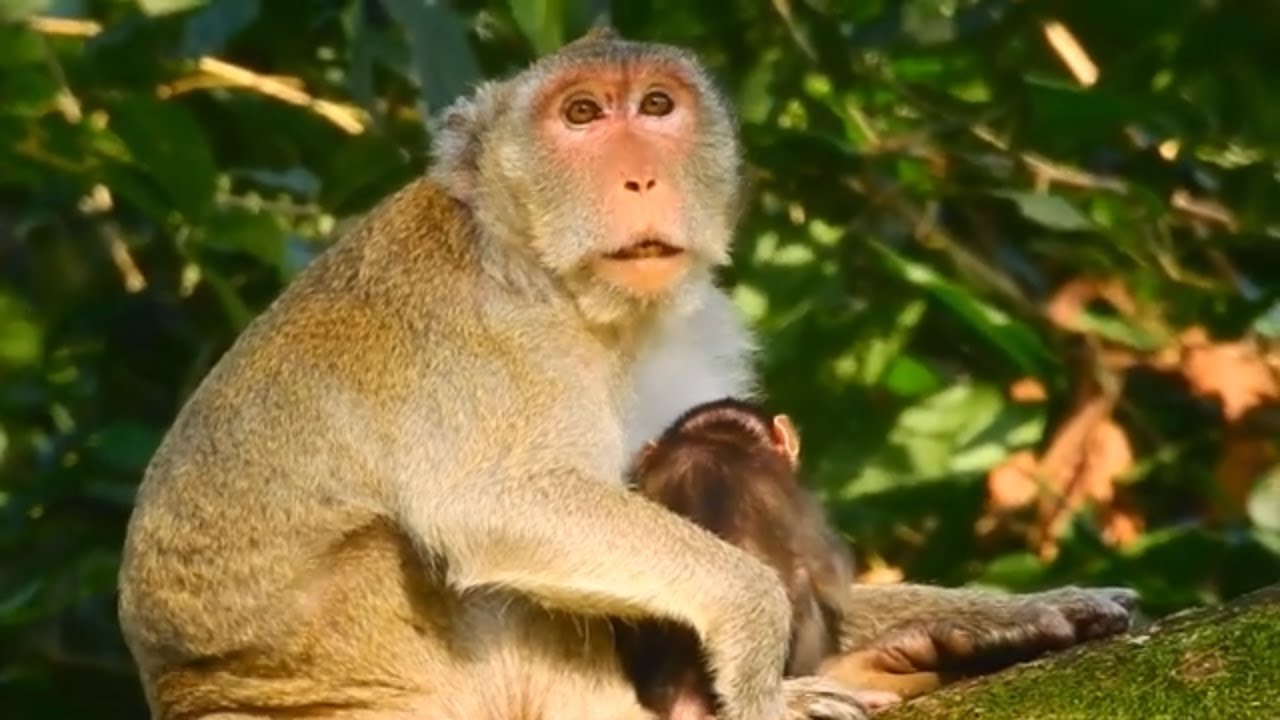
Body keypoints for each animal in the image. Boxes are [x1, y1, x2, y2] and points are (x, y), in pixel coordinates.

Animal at [116, 27, 1136, 720]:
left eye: (654, 108)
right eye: (580, 116)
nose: (641, 176)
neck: (562, 285)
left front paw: (1006, 615)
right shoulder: (493, 335)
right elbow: (494, 506)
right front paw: (760, 652)